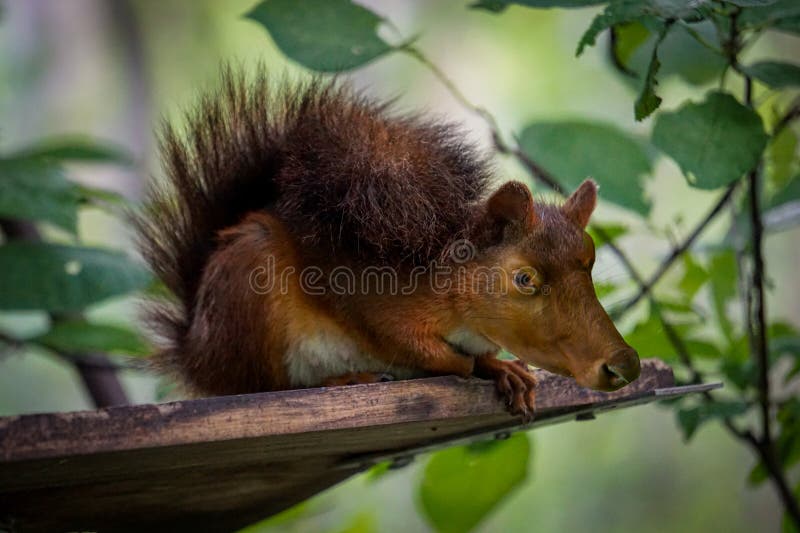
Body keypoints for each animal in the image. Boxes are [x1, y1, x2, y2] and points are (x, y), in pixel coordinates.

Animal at [134, 68, 640, 418]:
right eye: (524, 279)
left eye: (590, 261)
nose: (625, 366)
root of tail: (197, 352)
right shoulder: (368, 299)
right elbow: (430, 353)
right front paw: (475, 365)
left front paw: (502, 369)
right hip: (249, 293)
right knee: (265, 388)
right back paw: (343, 379)